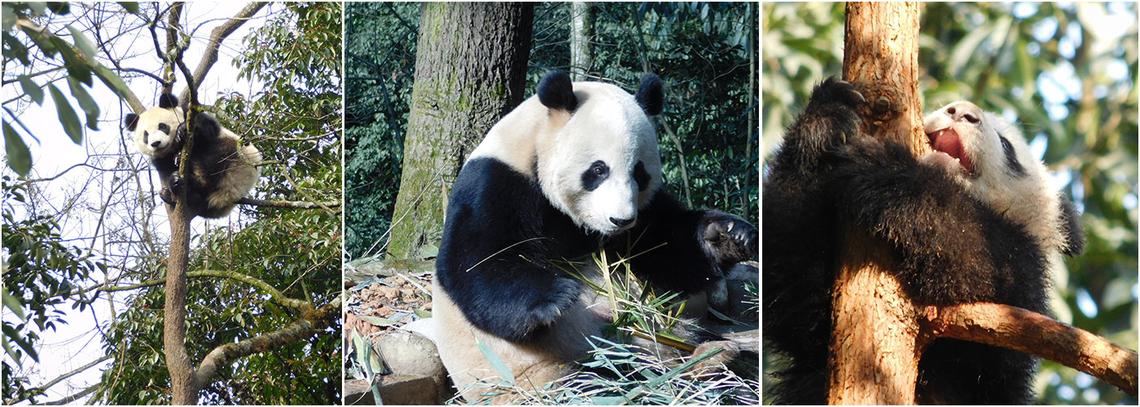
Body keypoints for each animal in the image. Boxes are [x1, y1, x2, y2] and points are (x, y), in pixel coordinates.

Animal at [124, 93, 261, 219]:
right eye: (146, 135)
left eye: (162, 126)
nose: (155, 143)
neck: (173, 147)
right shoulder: (161, 158)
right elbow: (166, 166)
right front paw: (173, 180)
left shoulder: (193, 114)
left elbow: (207, 130)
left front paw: (182, 130)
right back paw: (171, 191)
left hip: (234, 154)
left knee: (210, 162)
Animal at [430, 71, 758, 401]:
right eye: (598, 170)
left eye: (639, 173)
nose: (620, 220)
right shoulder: (497, 183)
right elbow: (477, 265)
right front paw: (555, 298)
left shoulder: (643, 219)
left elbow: (667, 251)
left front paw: (725, 237)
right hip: (549, 372)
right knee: (598, 383)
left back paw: (717, 359)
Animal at [762, 78, 1084, 404]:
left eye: (1007, 146)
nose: (962, 111)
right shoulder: (813, 329)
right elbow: (792, 282)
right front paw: (826, 120)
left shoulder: (1016, 303)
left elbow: (976, 261)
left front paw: (886, 170)